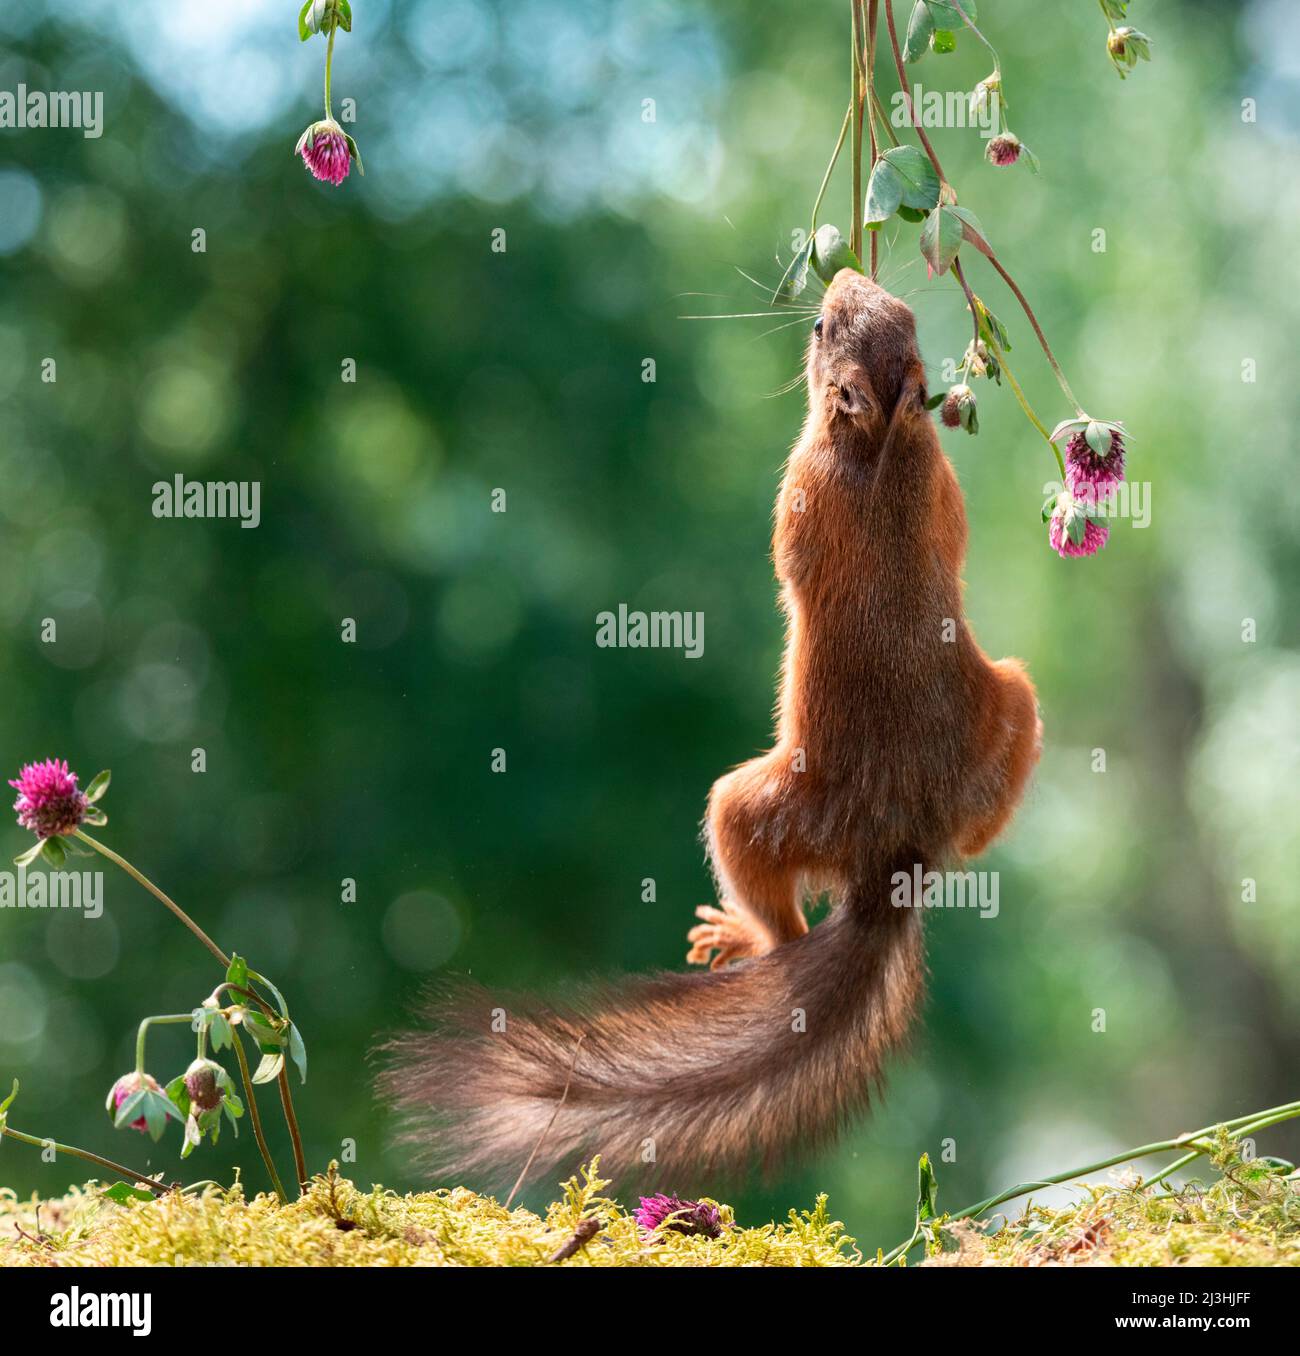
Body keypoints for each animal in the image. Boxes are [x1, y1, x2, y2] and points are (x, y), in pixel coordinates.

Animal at [381, 270, 1041, 1187]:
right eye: (896, 316)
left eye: (819, 328)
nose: (846, 276)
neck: (881, 437)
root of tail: (893, 860)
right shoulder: (940, 485)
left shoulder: (802, 484)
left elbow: (783, 550)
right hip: (1014, 702)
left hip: (752, 807)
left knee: (779, 915)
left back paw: (745, 935)